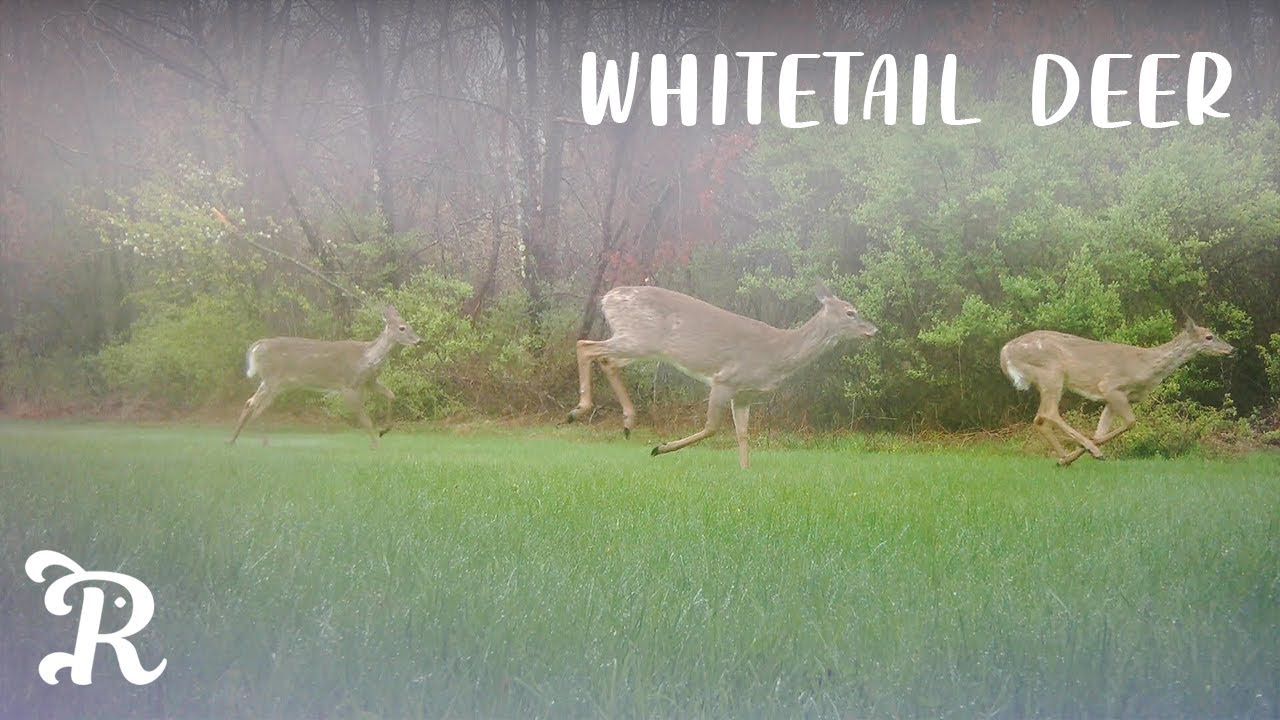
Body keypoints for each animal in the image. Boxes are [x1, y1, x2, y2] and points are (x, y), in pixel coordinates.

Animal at [229, 306, 421, 448]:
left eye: (409, 325)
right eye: (402, 328)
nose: (419, 340)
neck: (366, 358)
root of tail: (257, 346)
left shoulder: (368, 382)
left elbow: (391, 395)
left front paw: (385, 430)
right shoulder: (347, 386)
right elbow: (364, 418)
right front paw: (376, 444)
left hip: (272, 382)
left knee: (249, 402)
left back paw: (232, 440)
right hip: (272, 380)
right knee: (256, 407)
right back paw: (263, 442)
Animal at [566, 284, 879, 469]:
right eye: (850, 312)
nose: (874, 330)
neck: (777, 354)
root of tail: (607, 298)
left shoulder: (744, 395)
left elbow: (743, 434)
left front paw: (746, 471)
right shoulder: (725, 379)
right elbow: (712, 427)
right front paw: (660, 447)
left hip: (640, 344)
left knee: (605, 358)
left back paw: (627, 422)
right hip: (639, 338)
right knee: (585, 346)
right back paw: (578, 410)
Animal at [1000, 316, 1234, 466]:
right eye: (1209, 337)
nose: (1232, 349)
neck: (1146, 365)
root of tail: (1005, 353)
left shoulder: (1113, 398)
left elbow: (1101, 431)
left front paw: (1087, 450)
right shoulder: (1111, 386)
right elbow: (1131, 422)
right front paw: (1093, 450)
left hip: (1047, 379)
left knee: (1039, 418)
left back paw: (1065, 458)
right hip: (1052, 373)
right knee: (1048, 412)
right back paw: (1085, 453)